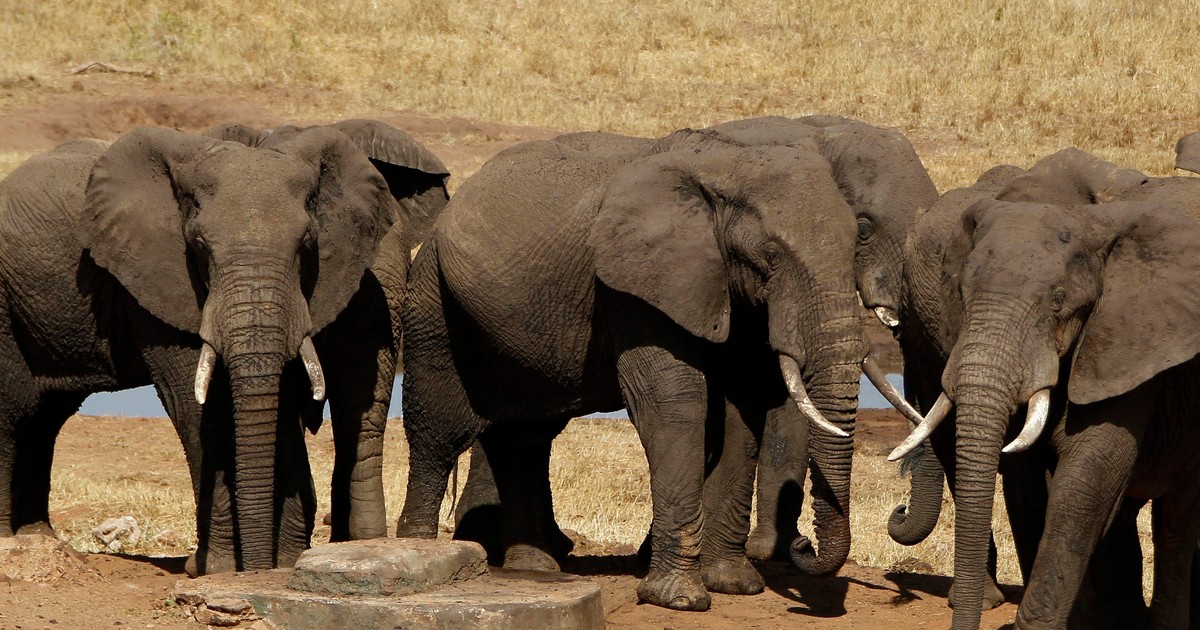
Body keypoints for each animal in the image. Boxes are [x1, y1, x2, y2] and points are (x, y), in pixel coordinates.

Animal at [0, 120, 448, 575]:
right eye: (199, 247)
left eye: (306, 244)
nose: (258, 569)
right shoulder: (157, 274)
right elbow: (197, 404)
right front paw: (215, 569)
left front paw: (275, 562)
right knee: (14, 410)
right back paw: (13, 541)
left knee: (44, 417)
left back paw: (38, 537)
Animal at [396, 129, 868, 611]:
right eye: (771, 255)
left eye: (859, 244)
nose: (803, 546)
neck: (728, 163)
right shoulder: (636, 286)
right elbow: (675, 404)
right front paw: (678, 599)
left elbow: (744, 409)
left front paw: (732, 583)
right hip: (433, 300)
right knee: (439, 431)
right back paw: (421, 550)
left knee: (524, 436)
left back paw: (534, 567)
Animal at [890, 196, 1200, 629]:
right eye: (961, 292)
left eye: (1058, 300)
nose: (898, 510)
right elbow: (1027, 483)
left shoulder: (1127, 346)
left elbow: (1085, 479)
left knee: (1174, 523)